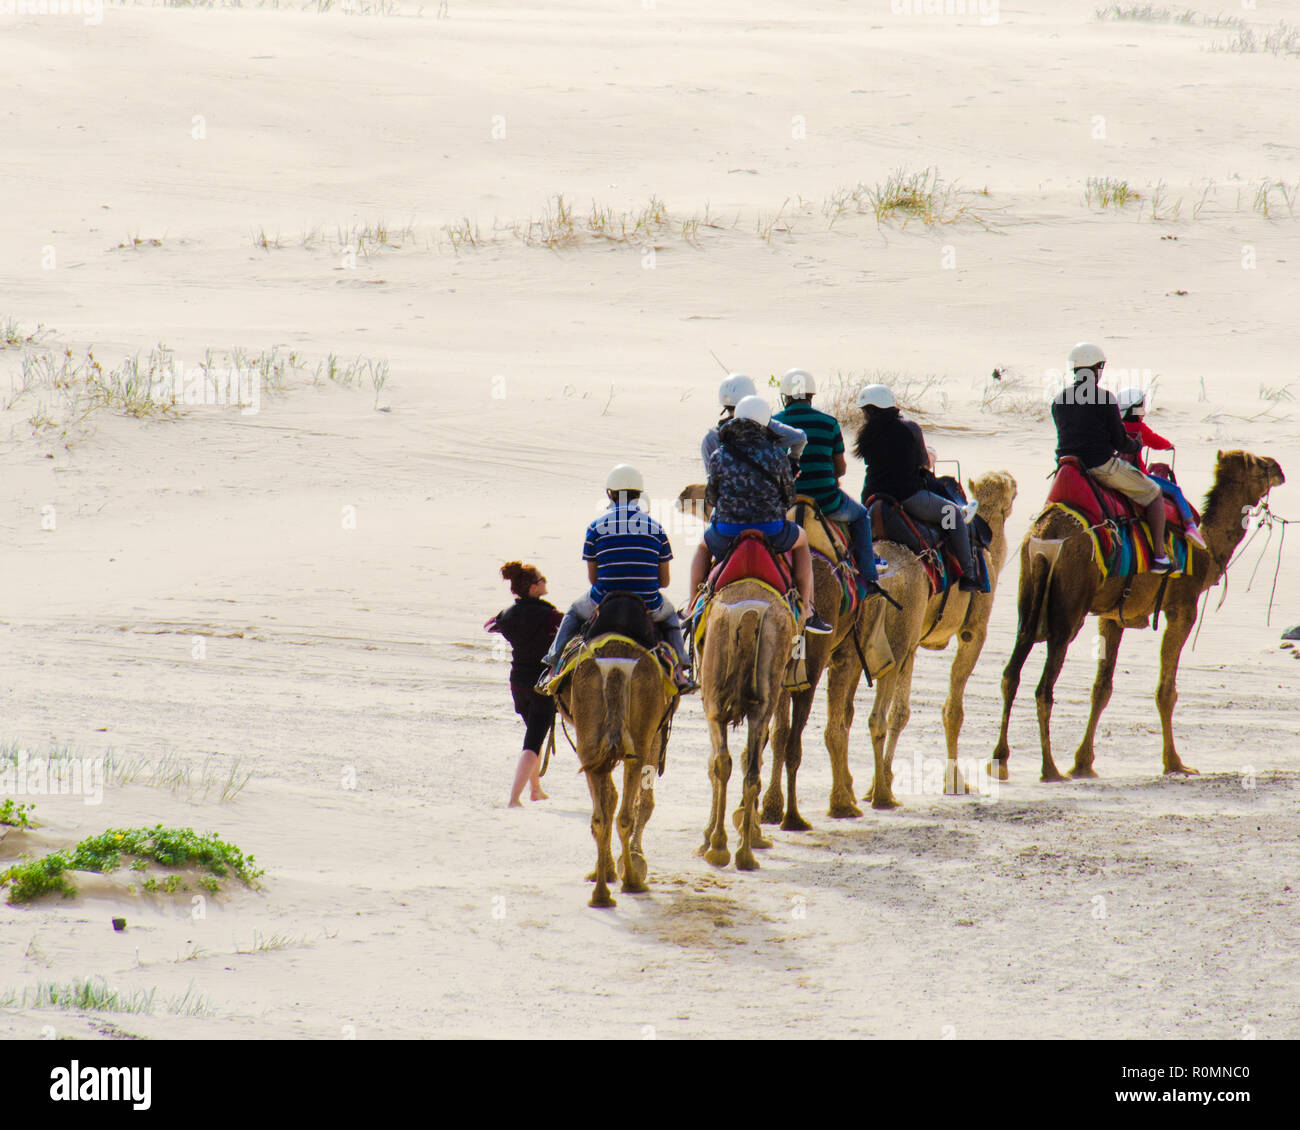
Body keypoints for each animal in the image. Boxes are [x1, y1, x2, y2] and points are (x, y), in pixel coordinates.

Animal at [554, 633, 677, 908]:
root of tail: (616, 667)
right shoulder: (655, 732)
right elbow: (642, 802)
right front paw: (633, 861)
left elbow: (609, 800)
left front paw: (609, 869)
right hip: (638, 743)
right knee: (624, 814)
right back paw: (632, 881)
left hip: (589, 742)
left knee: (601, 816)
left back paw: (601, 893)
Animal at [697, 579, 796, 870]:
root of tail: (750, 613)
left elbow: (713, 765)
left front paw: (708, 837)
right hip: (763, 699)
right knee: (749, 770)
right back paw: (743, 853)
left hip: (715, 702)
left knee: (722, 763)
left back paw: (718, 846)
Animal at [991, 450, 1285, 782]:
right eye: (1260, 464)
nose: (1280, 468)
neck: (1206, 551)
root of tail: (1045, 540)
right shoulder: (1183, 608)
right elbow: (1166, 691)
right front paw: (1175, 763)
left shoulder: (1112, 617)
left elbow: (1101, 688)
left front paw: (1083, 762)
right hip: (1069, 607)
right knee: (1045, 685)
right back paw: (1050, 769)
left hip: (1029, 592)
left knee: (1011, 672)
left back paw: (1001, 760)